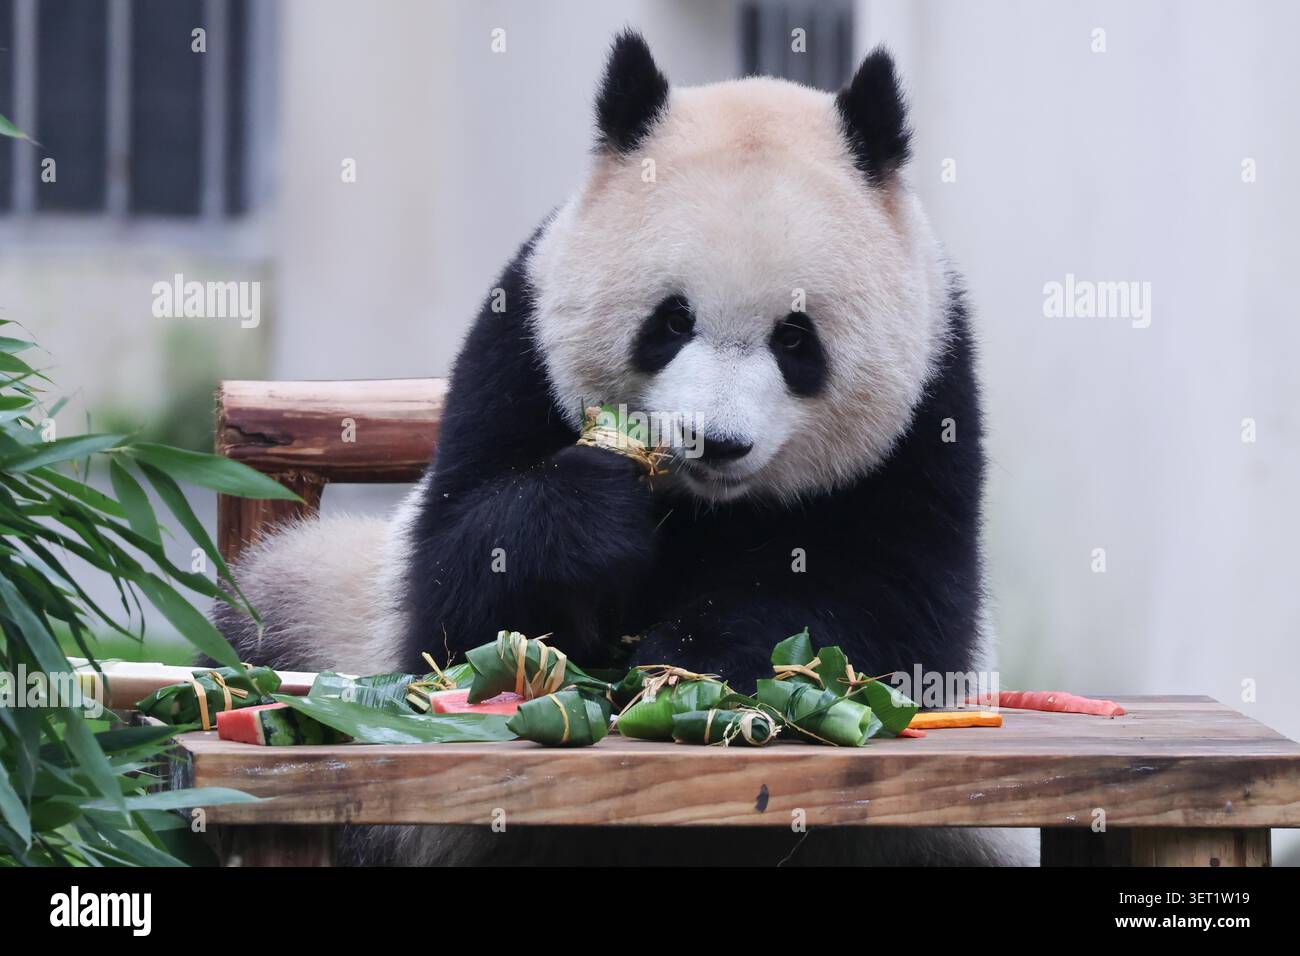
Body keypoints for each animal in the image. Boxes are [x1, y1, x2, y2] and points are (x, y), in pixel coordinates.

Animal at [218, 31, 1033, 866]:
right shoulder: (515, 350)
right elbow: (452, 599)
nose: (716, 440)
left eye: (796, 339)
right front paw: (597, 516)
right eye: (671, 320)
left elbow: (891, 606)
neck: (711, 507)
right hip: (324, 604)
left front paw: (690, 664)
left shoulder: (928, 416)